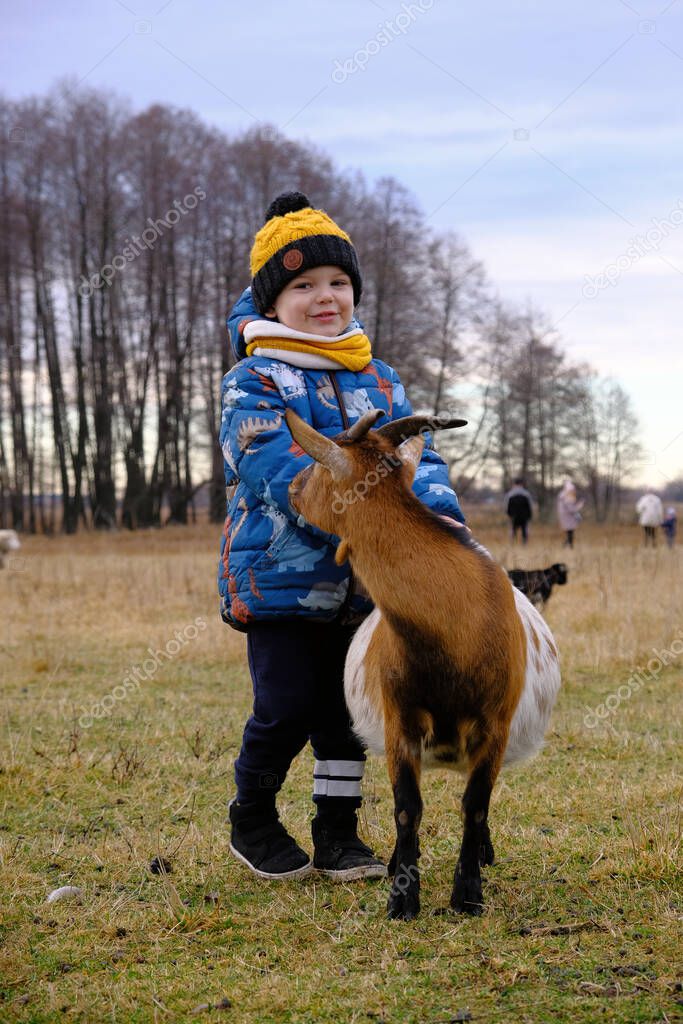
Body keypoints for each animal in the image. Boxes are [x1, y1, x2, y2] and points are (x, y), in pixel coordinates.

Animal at [286, 409, 561, 920]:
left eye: (316, 464)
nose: (291, 485)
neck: (453, 629)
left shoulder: (495, 726)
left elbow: (475, 806)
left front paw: (468, 895)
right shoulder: (400, 721)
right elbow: (406, 808)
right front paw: (402, 898)